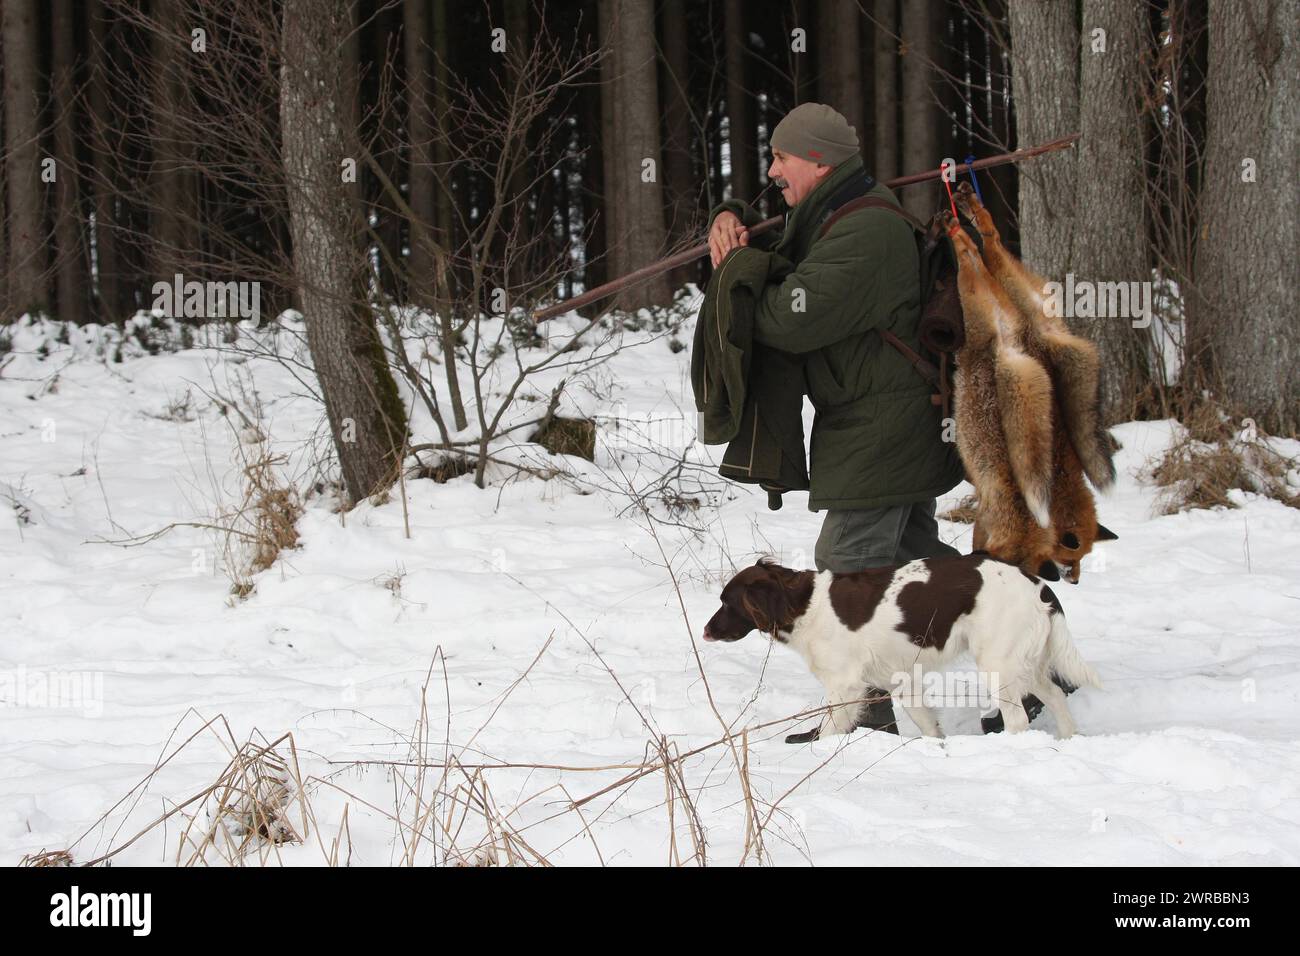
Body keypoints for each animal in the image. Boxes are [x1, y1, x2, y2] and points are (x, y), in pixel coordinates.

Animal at [951, 184, 1119, 582]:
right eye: (1072, 559)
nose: (1075, 580)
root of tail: (1018, 343)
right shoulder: (986, 521)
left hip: (999, 299)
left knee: (988, 248)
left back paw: (967, 215)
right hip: (984, 310)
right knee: (976, 254)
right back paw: (959, 226)